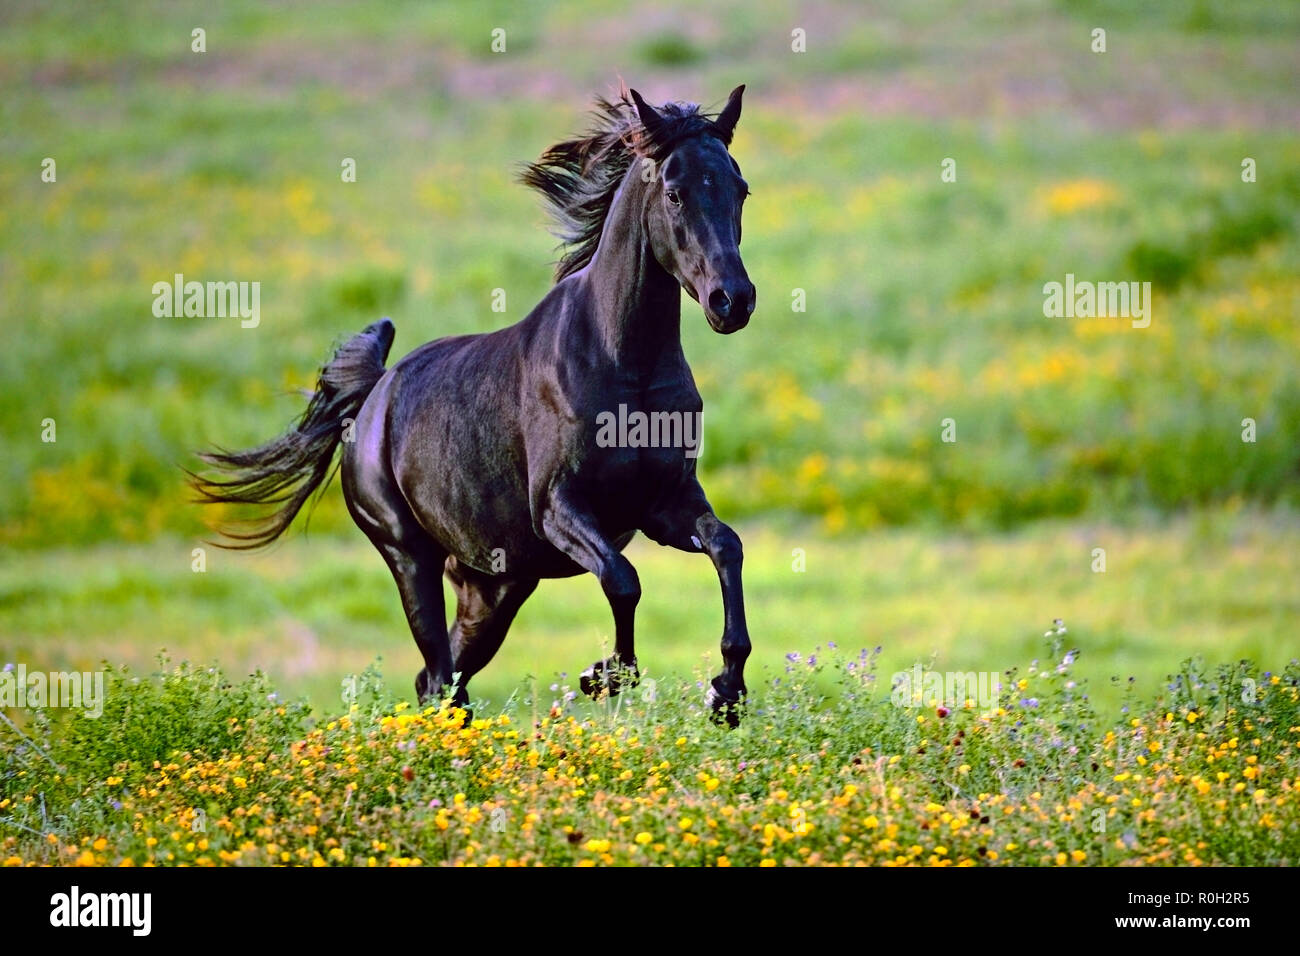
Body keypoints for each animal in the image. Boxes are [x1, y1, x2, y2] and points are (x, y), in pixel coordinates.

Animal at [191, 85, 756, 725]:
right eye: (674, 191)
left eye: (739, 188)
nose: (732, 300)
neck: (623, 363)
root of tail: (371, 399)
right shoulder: (559, 507)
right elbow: (623, 578)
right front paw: (603, 675)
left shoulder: (665, 504)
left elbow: (726, 546)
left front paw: (726, 691)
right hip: (411, 556)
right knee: (438, 673)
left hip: (496, 588)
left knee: (441, 681)